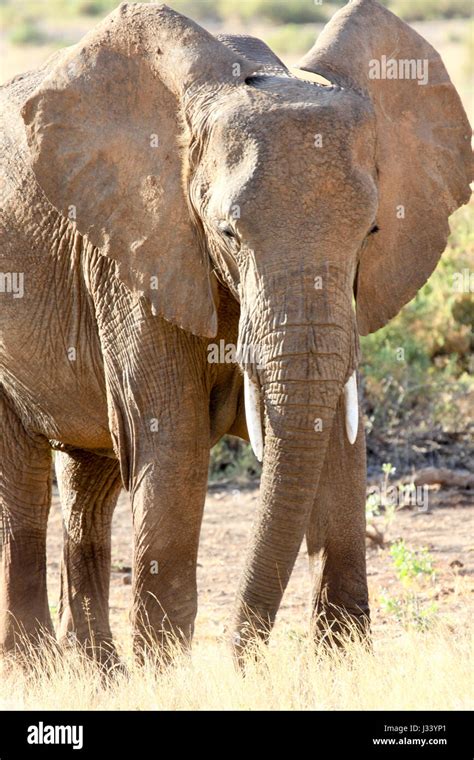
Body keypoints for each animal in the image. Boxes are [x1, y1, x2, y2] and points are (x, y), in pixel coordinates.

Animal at [0, 0, 471, 665]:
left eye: (371, 233)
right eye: (229, 233)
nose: (240, 655)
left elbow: (335, 432)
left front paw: (339, 662)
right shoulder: (133, 255)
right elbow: (170, 439)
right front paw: (166, 672)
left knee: (90, 482)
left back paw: (97, 673)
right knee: (24, 486)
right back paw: (36, 668)